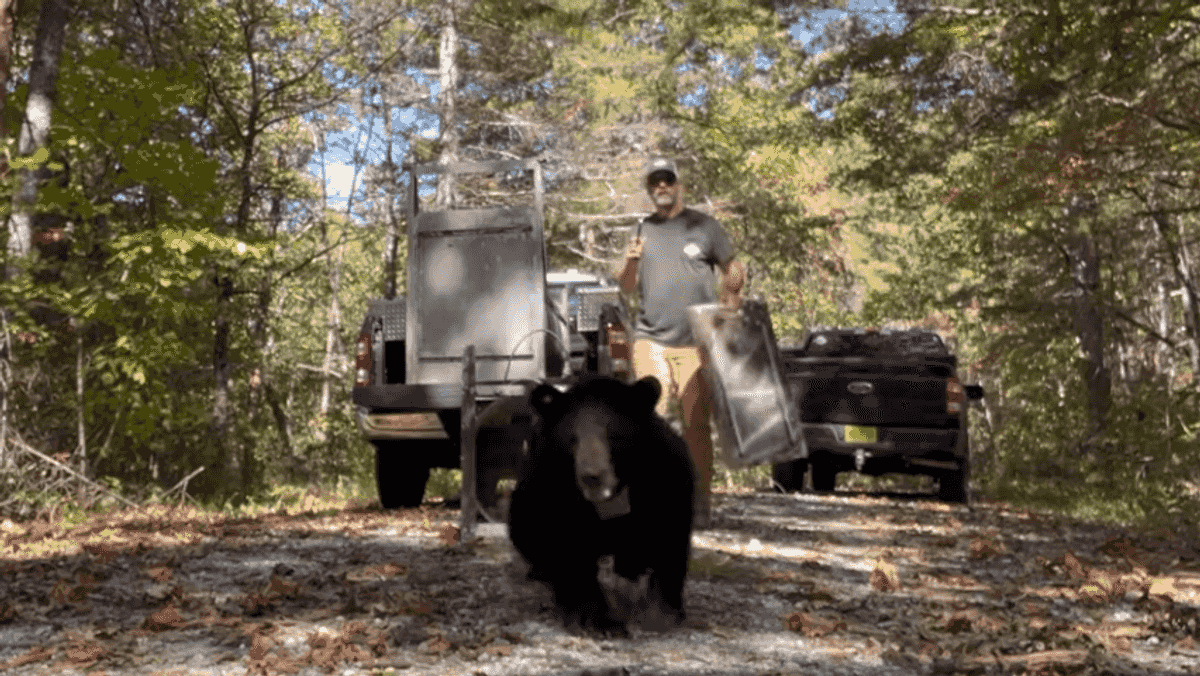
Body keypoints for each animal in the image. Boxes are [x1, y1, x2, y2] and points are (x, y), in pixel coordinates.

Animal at [507, 374, 696, 634]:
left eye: (613, 436)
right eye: (572, 439)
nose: (592, 477)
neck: (608, 501)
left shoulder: (665, 478)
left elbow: (669, 539)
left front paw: (662, 614)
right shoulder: (549, 486)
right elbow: (565, 547)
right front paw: (597, 620)